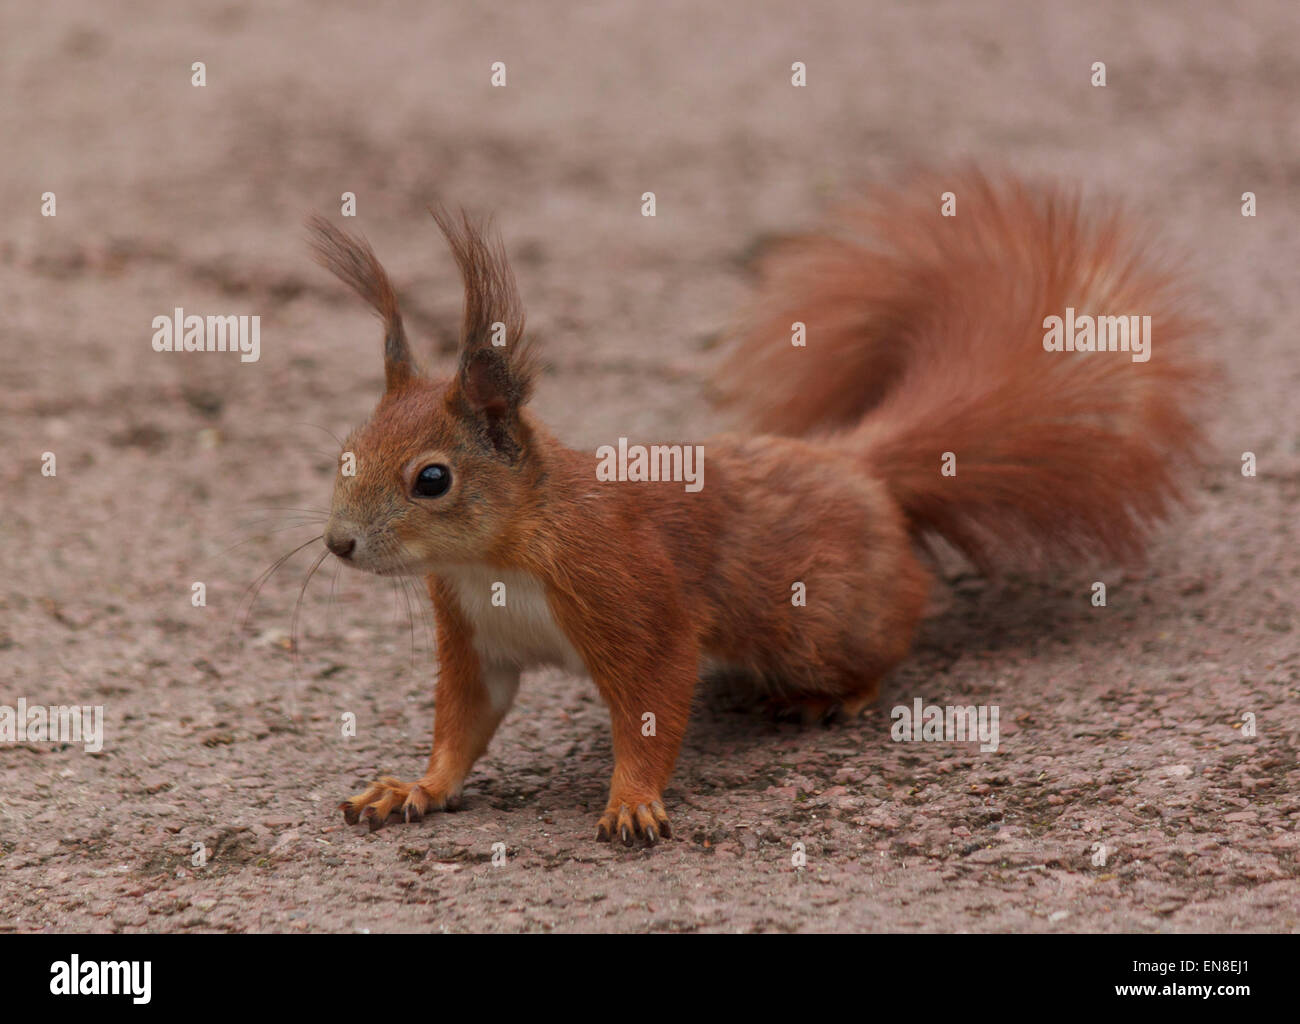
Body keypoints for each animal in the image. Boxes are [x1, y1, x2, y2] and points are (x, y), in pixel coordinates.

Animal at [307, 170, 1208, 846]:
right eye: (345, 448)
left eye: (432, 479)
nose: (338, 544)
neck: (497, 558)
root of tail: (853, 464)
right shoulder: (473, 634)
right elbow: (465, 721)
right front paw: (415, 788)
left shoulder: (628, 592)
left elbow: (653, 700)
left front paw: (631, 802)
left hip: (822, 619)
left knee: (898, 625)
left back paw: (832, 696)